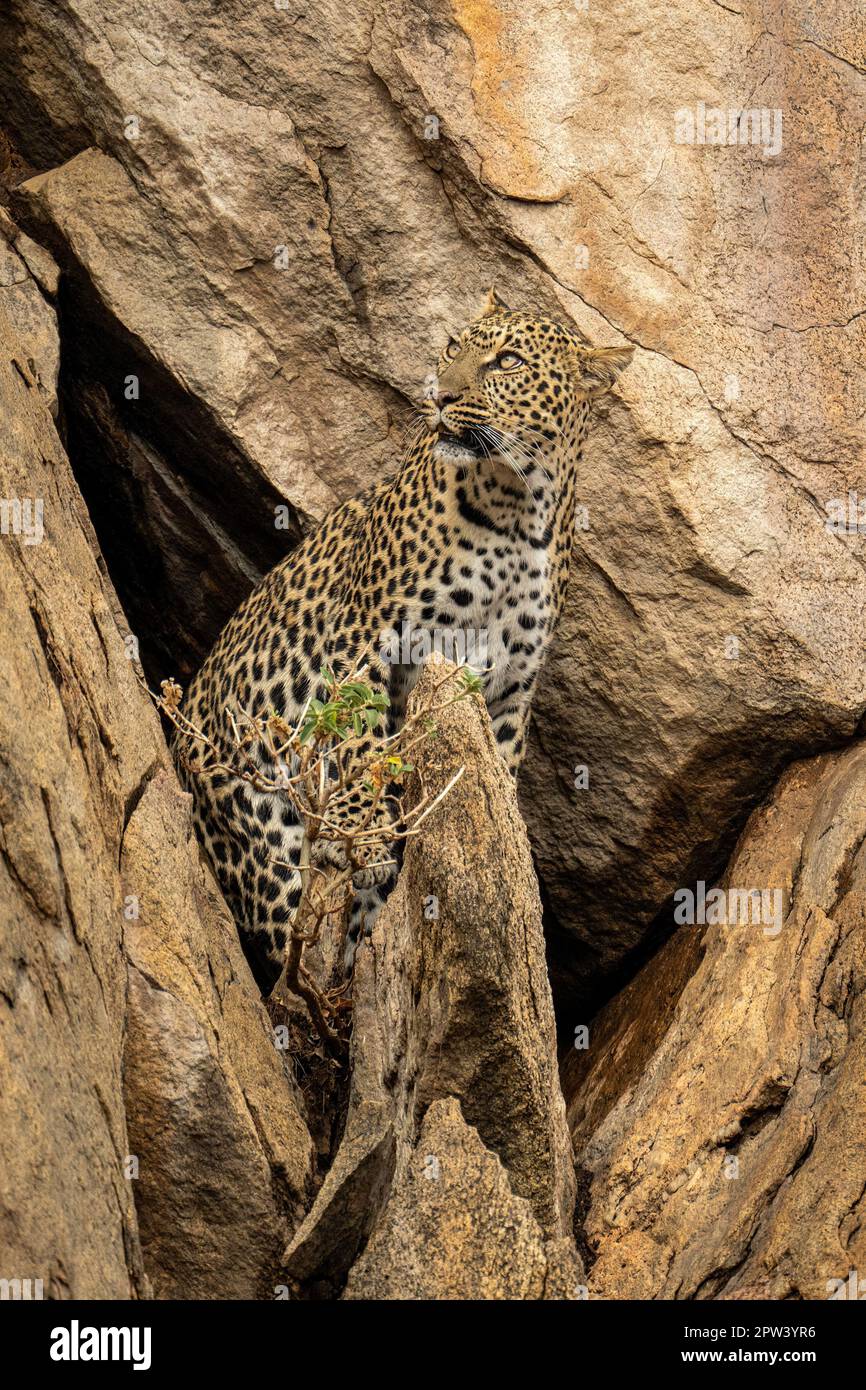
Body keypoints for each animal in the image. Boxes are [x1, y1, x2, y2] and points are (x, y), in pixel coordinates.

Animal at [173, 289, 632, 993]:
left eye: (508, 361)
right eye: (453, 347)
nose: (441, 395)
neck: (519, 505)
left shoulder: (509, 685)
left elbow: (498, 766)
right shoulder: (369, 635)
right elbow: (361, 738)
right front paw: (362, 830)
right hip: (260, 836)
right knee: (288, 952)